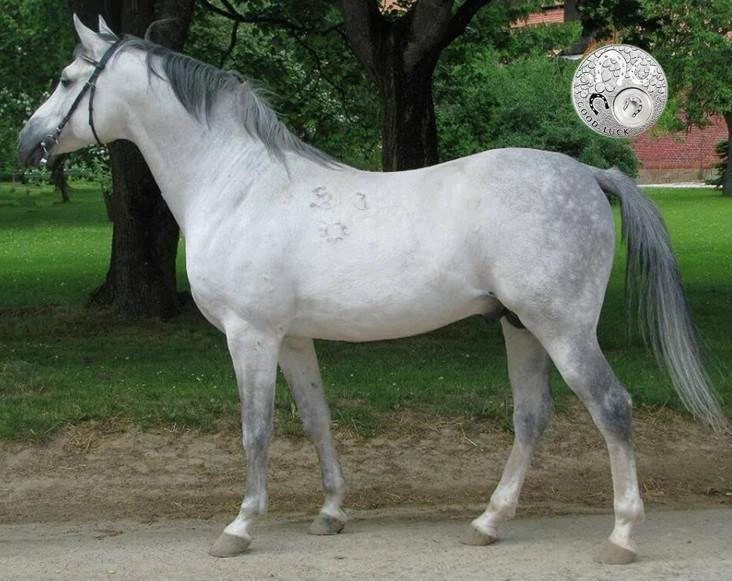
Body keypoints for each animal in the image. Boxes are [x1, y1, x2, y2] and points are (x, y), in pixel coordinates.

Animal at [18, 15, 724, 564]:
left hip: (563, 329)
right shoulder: (291, 338)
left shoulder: (251, 335)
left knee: (612, 408)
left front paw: (240, 526)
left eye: (66, 79)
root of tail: (589, 173)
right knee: (531, 417)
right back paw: (489, 523)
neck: (239, 186)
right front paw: (331, 512)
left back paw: (622, 536)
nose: (26, 142)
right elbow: (316, 418)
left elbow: (255, 429)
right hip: (519, 326)